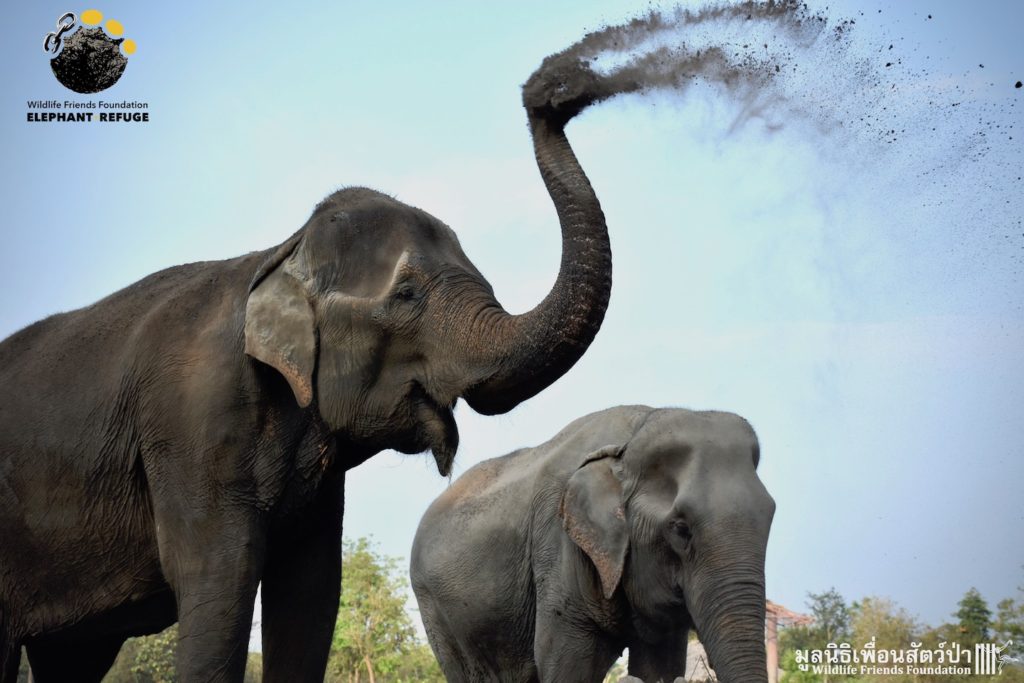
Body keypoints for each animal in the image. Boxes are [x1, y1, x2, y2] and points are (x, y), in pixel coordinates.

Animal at [0, 57, 615, 682]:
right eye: (408, 294)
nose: (554, 94)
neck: (280, 252)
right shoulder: (191, 424)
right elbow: (218, 579)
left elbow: (311, 592)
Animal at [411, 405, 776, 683]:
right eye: (681, 529)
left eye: (772, 515)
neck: (633, 436)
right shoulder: (559, 544)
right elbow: (569, 662)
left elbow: (659, 663)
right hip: (435, 610)